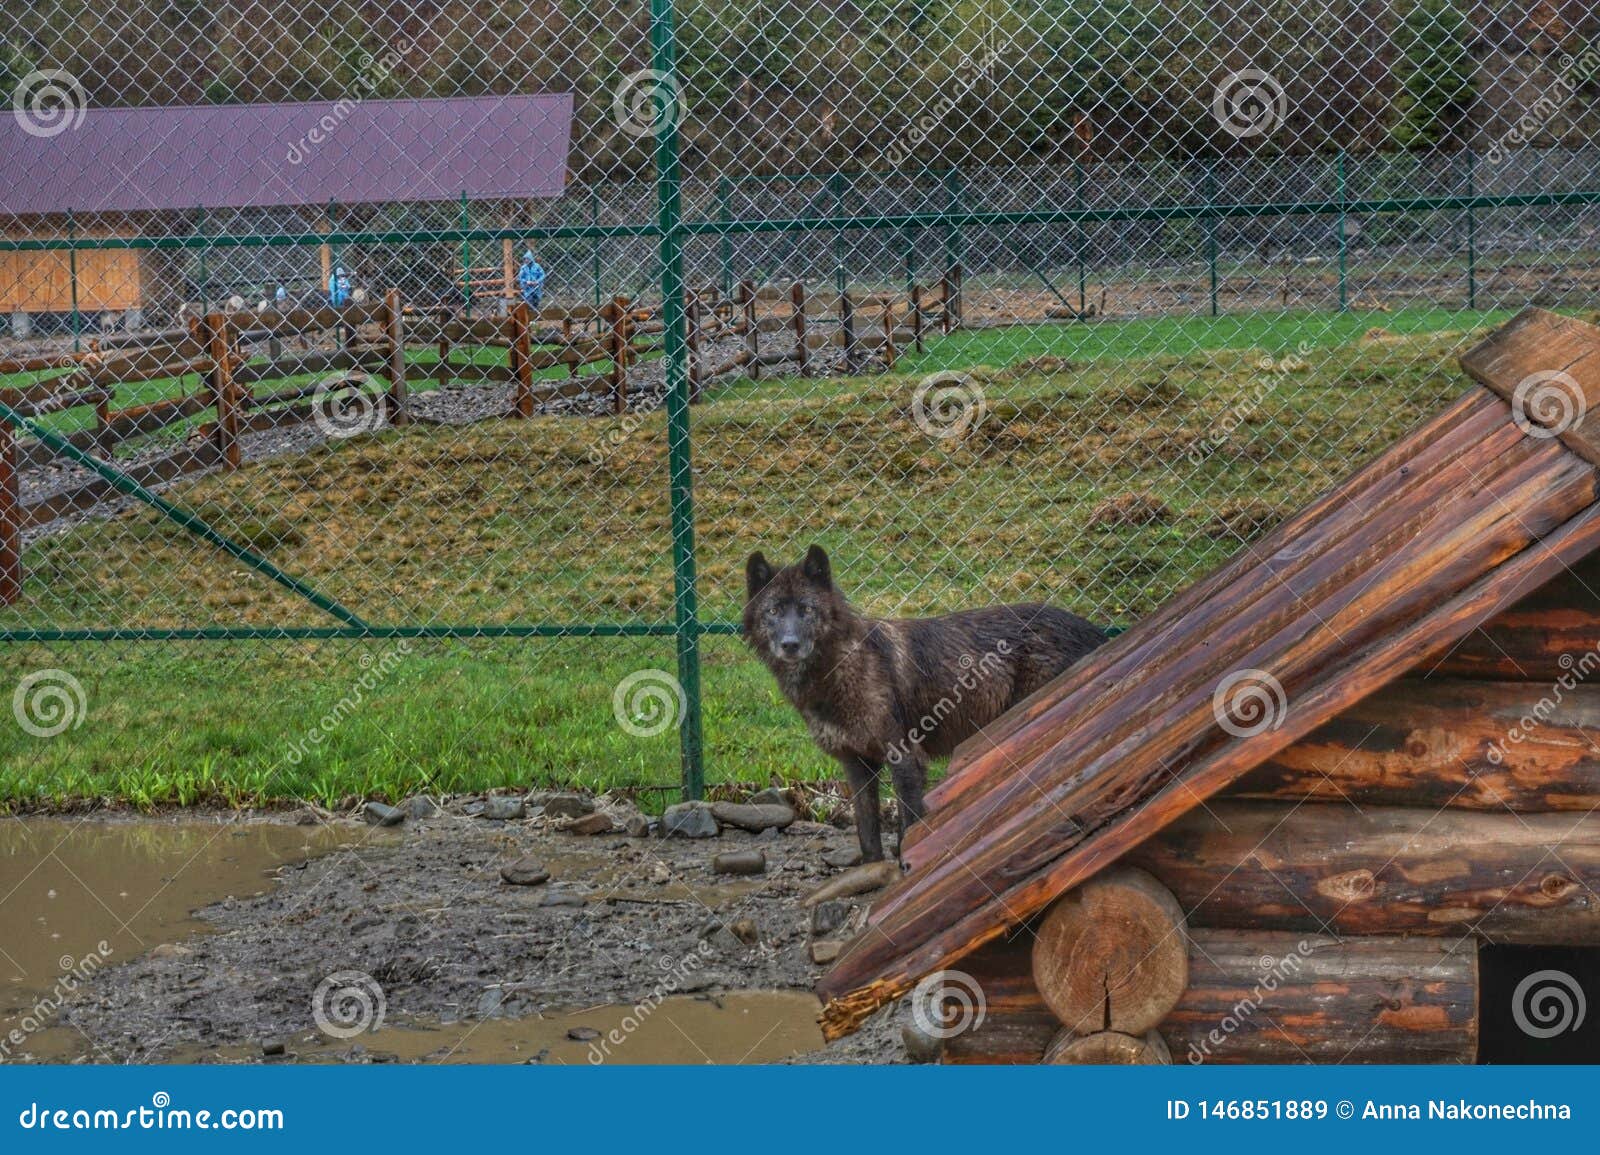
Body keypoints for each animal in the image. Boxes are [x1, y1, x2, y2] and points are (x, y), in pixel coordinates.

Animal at [743, 545, 1107, 862]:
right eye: (773, 611)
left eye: (807, 609)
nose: (790, 645)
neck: (840, 667)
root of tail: (1094, 630)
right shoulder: (856, 764)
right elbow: (867, 832)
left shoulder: (906, 759)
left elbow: (909, 827)